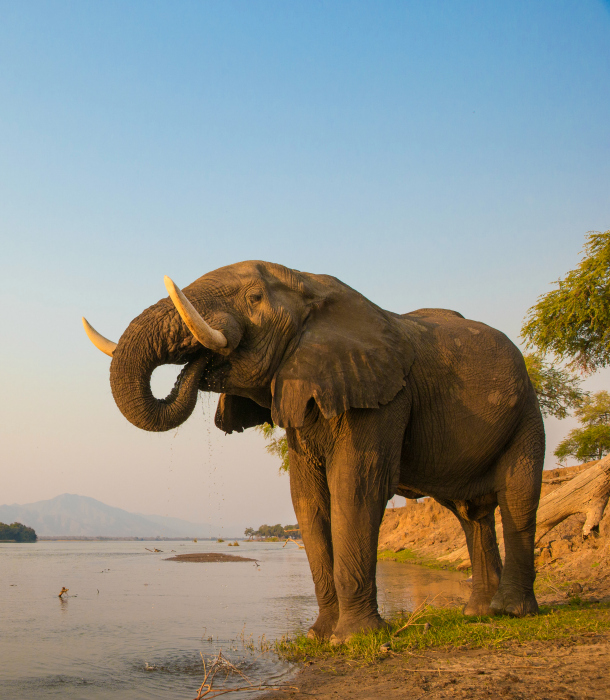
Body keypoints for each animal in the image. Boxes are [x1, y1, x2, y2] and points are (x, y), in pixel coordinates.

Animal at [83, 261, 545, 643]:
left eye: (254, 298)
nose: (199, 364)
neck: (311, 286)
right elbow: (307, 500)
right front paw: (319, 636)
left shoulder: (382, 397)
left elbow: (355, 489)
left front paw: (353, 640)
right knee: (471, 514)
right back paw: (478, 614)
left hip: (527, 410)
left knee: (518, 498)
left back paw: (512, 612)